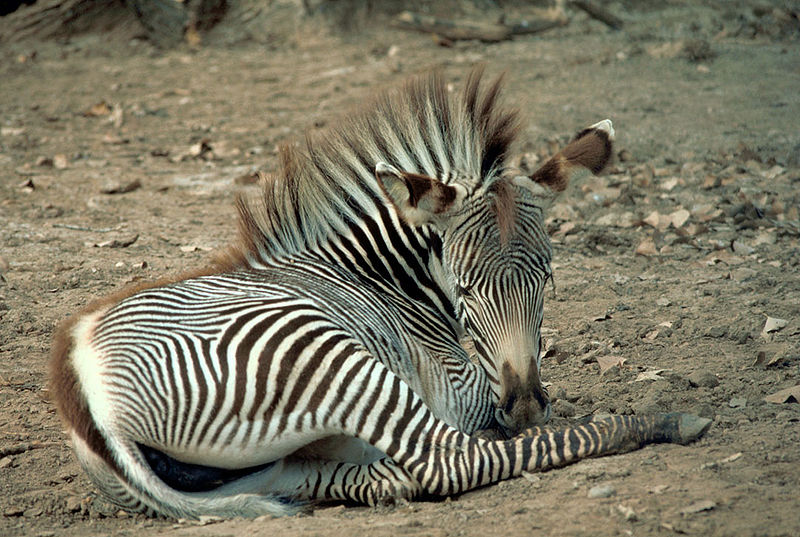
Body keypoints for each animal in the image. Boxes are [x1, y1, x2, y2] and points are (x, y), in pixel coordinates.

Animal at [50, 68, 710, 519]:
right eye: (465, 287)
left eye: (547, 279)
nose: (523, 407)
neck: (382, 278)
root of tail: (87, 390)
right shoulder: (462, 387)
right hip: (333, 360)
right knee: (450, 460)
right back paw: (668, 421)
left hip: (269, 473)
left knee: (372, 476)